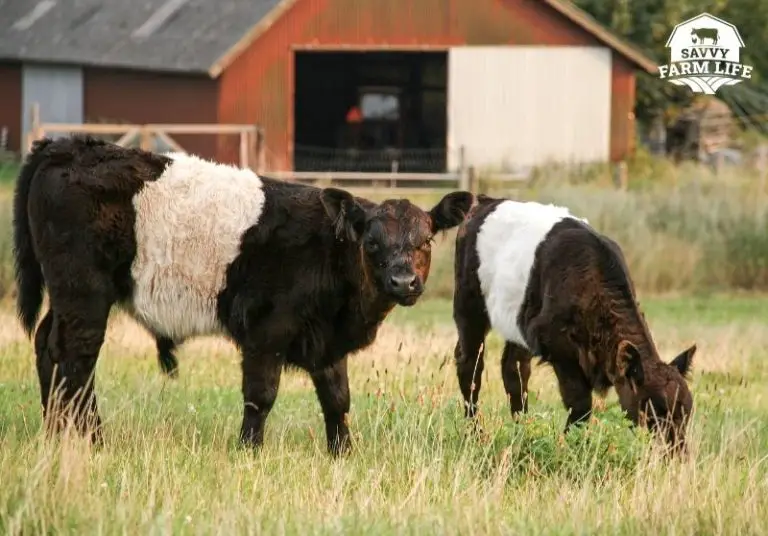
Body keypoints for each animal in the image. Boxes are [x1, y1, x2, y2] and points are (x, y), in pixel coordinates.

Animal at [12, 136, 473, 456]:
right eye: (372, 244)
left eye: (425, 242)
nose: (404, 281)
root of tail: (63, 145)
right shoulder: (267, 332)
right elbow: (261, 395)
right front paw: (249, 451)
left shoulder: (325, 341)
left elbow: (337, 399)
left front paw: (342, 453)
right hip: (84, 291)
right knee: (76, 358)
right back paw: (92, 440)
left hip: (68, 295)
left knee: (48, 346)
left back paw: (56, 433)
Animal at [451, 194, 697, 452]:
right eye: (653, 412)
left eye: (686, 413)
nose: (677, 452)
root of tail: (484, 200)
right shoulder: (557, 345)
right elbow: (580, 402)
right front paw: (569, 447)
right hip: (468, 302)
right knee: (470, 364)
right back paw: (475, 435)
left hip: (516, 320)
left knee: (514, 368)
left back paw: (523, 431)